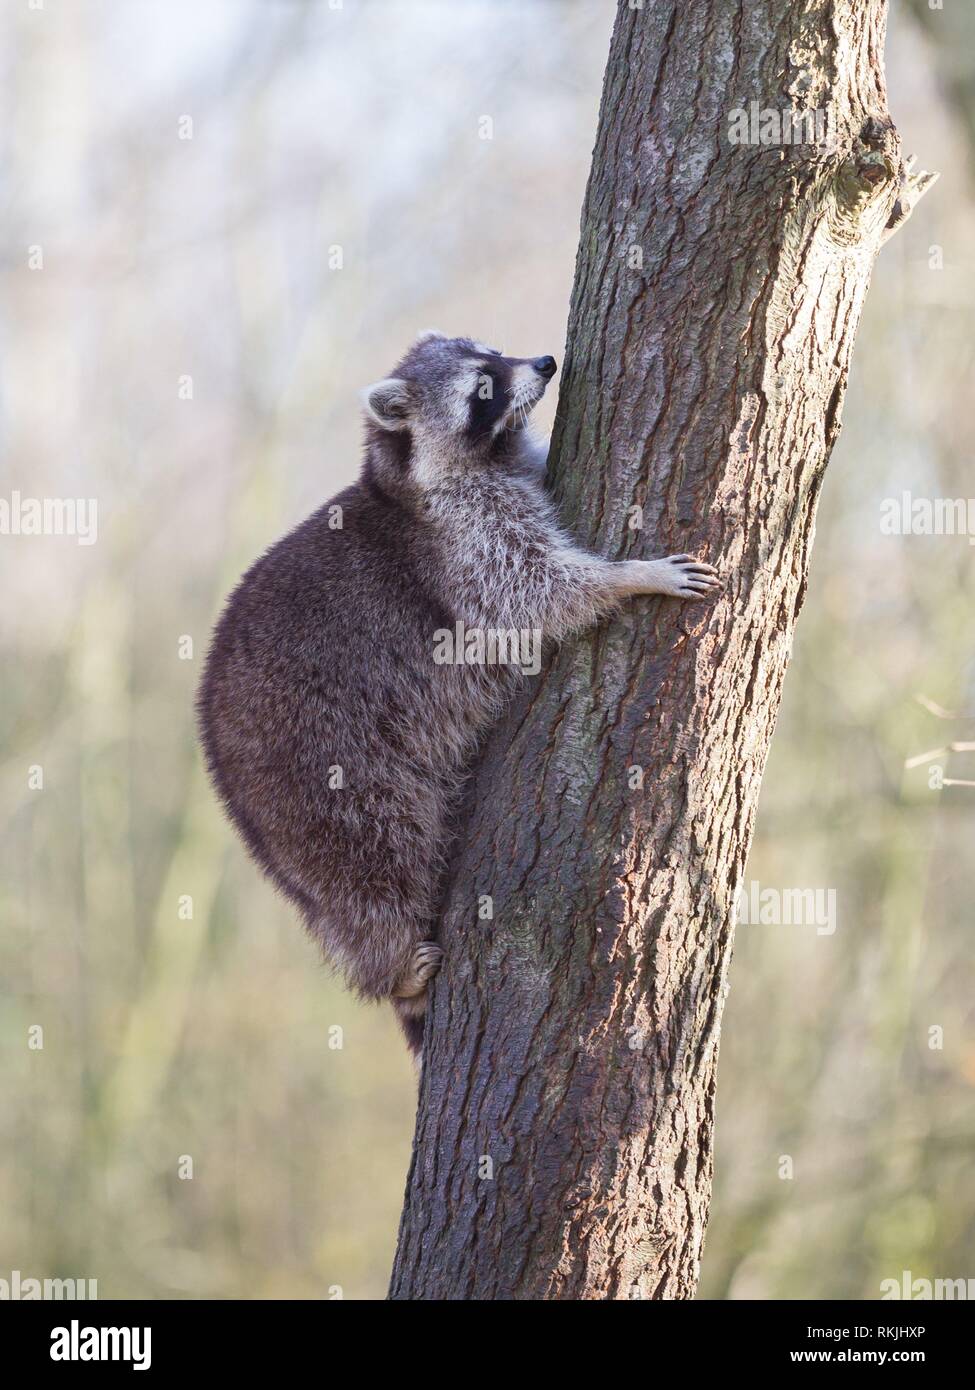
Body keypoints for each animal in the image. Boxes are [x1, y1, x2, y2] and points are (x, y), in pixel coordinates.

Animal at [197, 331, 721, 1056]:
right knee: (371, 865)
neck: (403, 474)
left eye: (493, 351)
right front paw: (626, 576)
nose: (546, 363)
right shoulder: (456, 542)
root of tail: (234, 793)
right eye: (482, 387)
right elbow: (527, 594)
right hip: (320, 772)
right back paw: (391, 966)